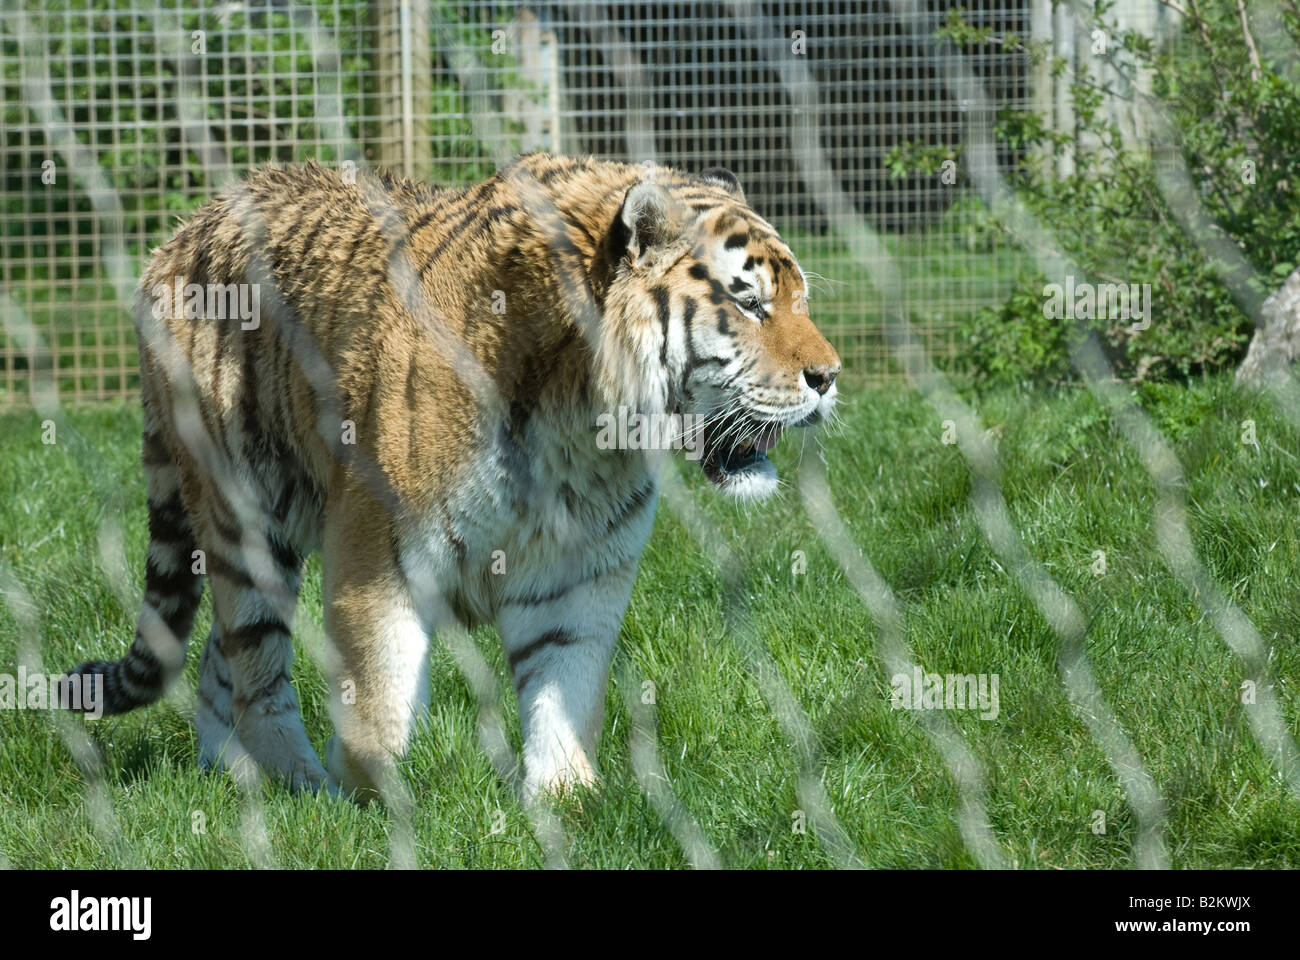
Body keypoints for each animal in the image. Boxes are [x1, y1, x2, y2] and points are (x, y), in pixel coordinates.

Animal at [62, 153, 841, 800]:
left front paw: (566, 800)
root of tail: (179, 234)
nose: (830, 377)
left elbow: (565, 691)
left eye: (799, 298)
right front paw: (375, 805)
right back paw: (303, 788)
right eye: (749, 303)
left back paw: (238, 780)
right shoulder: (379, 556)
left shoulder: (578, 574)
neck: (585, 425)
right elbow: (379, 708)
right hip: (246, 514)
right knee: (254, 668)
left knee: (218, 663)